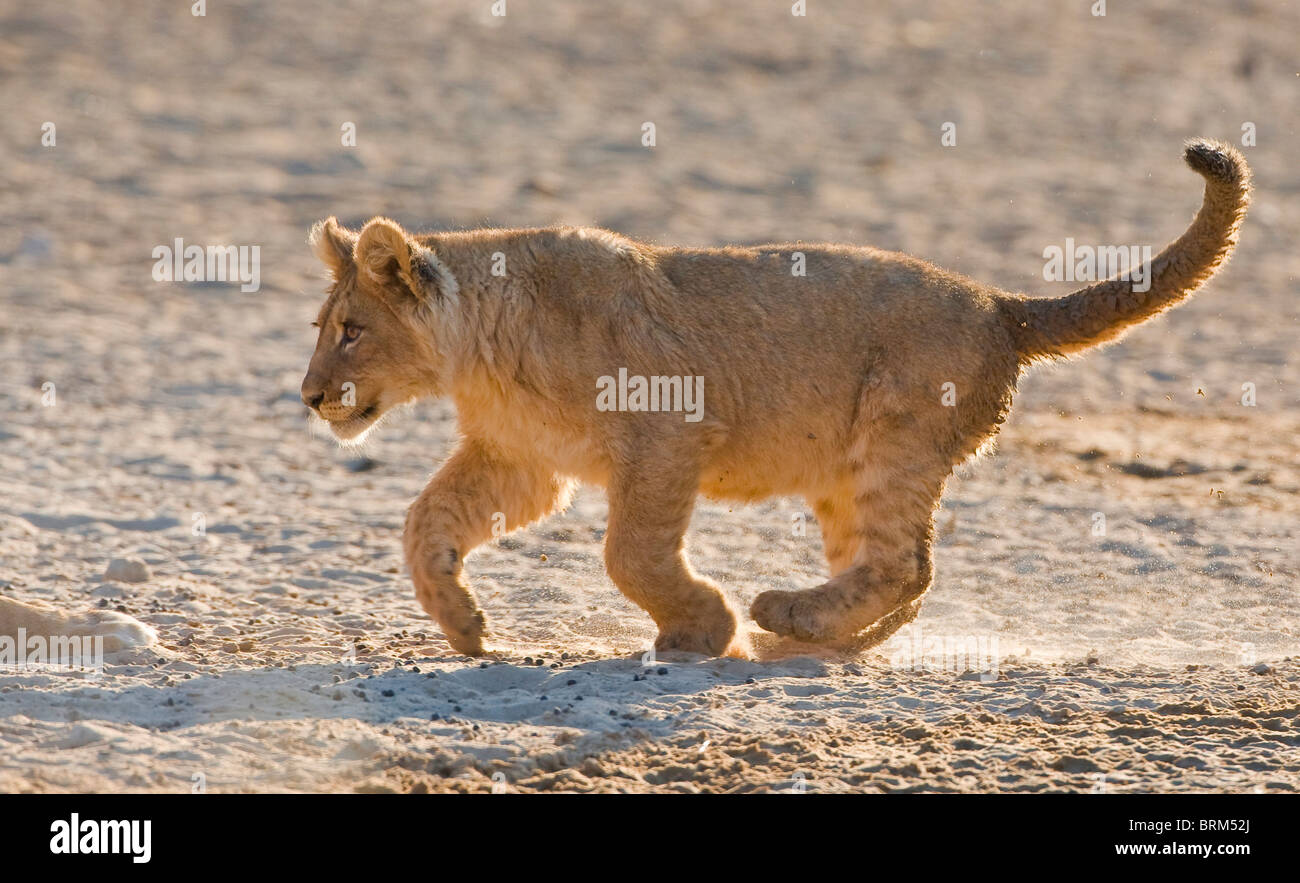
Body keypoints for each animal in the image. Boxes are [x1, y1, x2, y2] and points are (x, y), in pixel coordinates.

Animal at [301, 140, 1249, 658]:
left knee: (905, 563)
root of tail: (998, 302)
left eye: (351, 330)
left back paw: (778, 613)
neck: (481, 348)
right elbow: (424, 521)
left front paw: (699, 628)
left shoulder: (668, 429)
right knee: (905, 573)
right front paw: (464, 625)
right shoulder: (522, 460)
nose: (309, 396)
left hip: (895, 434)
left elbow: (630, 554)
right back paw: (805, 636)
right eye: (323, 324)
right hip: (849, 474)